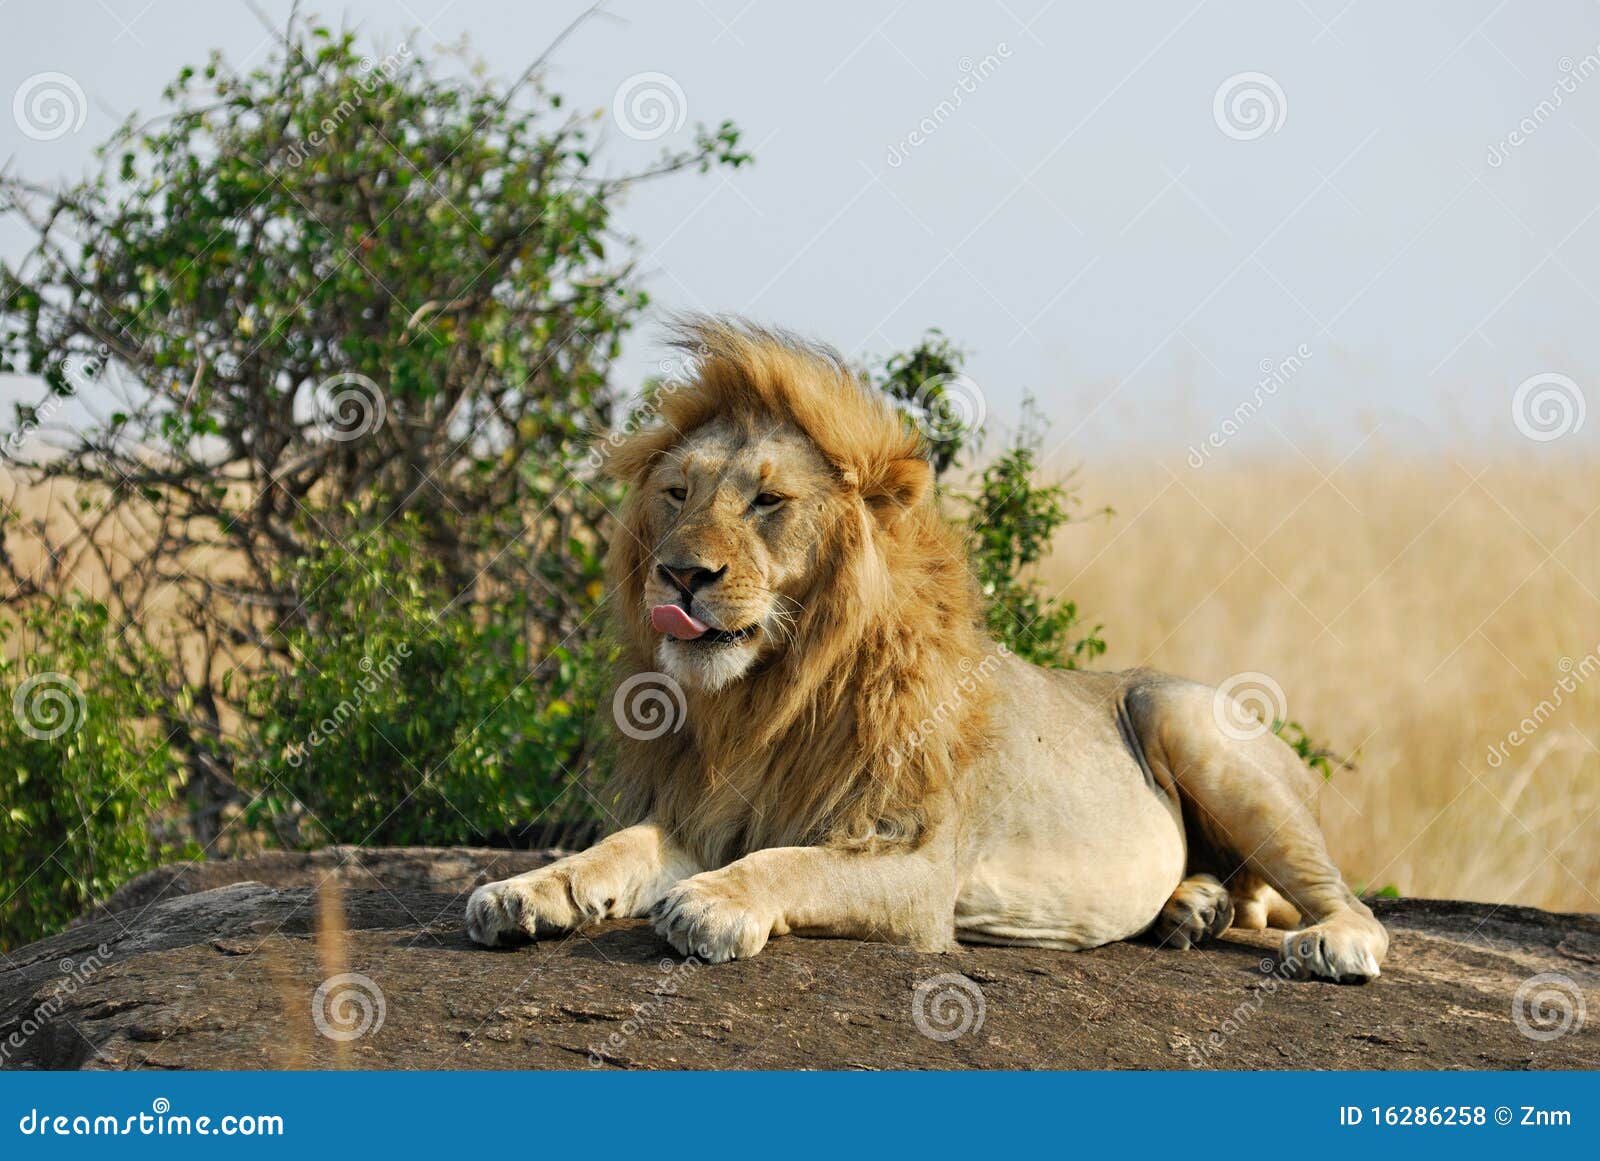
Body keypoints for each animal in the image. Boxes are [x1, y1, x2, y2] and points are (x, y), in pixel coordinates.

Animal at [466, 318, 1389, 983]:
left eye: (768, 500)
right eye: (676, 492)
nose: (681, 574)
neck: (770, 695)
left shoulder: (919, 867)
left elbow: (791, 863)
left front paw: (712, 905)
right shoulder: (707, 813)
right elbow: (615, 846)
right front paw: (521, 890)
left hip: (1187, 722)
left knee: (1346, 901)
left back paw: (1326, 942)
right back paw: (1192, 910)